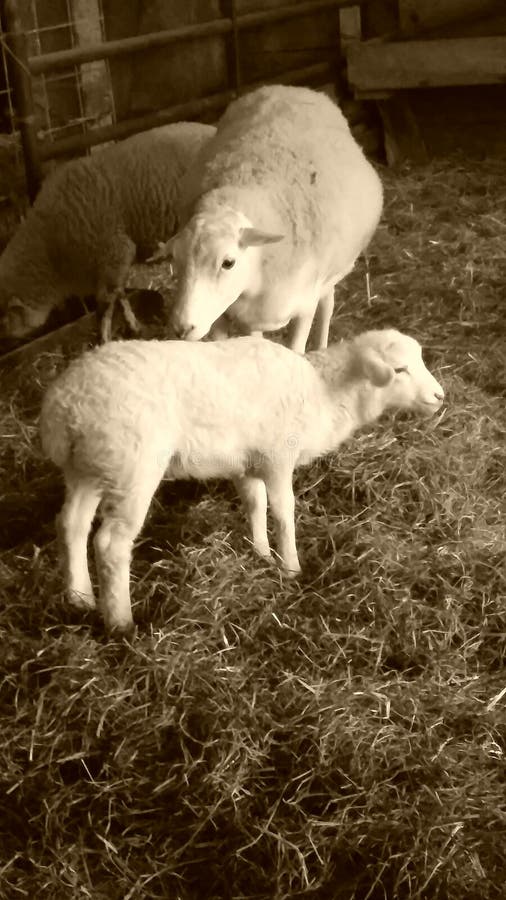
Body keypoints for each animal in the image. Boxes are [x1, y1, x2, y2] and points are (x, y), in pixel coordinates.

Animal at [0, 121, 216, 345]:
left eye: (3, 320)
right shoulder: (109, 269)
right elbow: (120, 295)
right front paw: (133, 325)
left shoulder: (115, 254)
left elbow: (104, 306)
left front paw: (103, 338)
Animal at [40, 328, 444, 635]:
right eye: (400, 369)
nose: (440, 396)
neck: (323, 392)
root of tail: (65, 407)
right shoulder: (279, 456)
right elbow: (283, 511)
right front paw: (291, 567)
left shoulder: (250, 463)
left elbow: (255, 504)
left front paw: (261, 552)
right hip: (133, 465)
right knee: (110, 543)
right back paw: (120, 621)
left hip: (89, 468)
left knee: (71, 525)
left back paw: (79, 597)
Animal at [151, 84, 383, 352]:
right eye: (175, 260)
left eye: (228, 262)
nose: (182, 328)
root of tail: (291, 88)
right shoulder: (234, 318)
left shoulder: (305, 306)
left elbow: (297, 347)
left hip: (330, 275)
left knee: (328, 304)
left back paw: (321, 346)